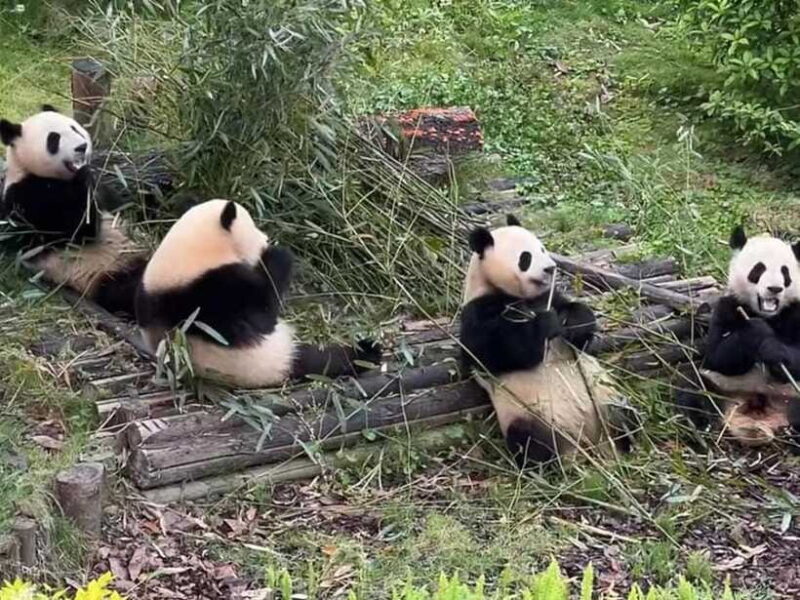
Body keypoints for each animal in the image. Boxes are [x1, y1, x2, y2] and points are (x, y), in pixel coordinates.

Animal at [0, 105, 147, 316]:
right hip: (102, 273)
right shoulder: (27, 197)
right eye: (53, 139)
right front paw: (83, 176)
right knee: (133, 291)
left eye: (74, 128)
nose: (82, 147)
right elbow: (79, 230)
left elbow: (118, 205)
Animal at [135, 199, 381, 387]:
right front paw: (277, 255)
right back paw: (367, 352)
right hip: (272, 358)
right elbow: (262, 312)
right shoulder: (214, 291)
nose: (265, 238)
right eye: (253, 226)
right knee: (323, 360)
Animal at [459, 215, 633, 466]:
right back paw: (555, 464)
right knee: (530, 442)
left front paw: (572, 323)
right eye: (525, 257)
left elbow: (579, 328)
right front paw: (545, 324)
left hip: (605, 394)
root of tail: (588, 442)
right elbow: (495, 351)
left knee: (622, 413)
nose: (550, 268)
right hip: (528, 414)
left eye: (542, 248)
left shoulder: (549, 297)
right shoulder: (478, 311)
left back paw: (626, 444)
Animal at [676, 225, 800, 447]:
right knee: (691, 383)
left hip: (791, 395)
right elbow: (718, 355)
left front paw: (773, 350)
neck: (767, 314)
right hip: (720, 385)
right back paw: (701, 428)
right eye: (758, 269)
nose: (775, 288)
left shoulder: (795, 310)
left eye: (785, 272)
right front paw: (758, 330)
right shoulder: (727, 306)